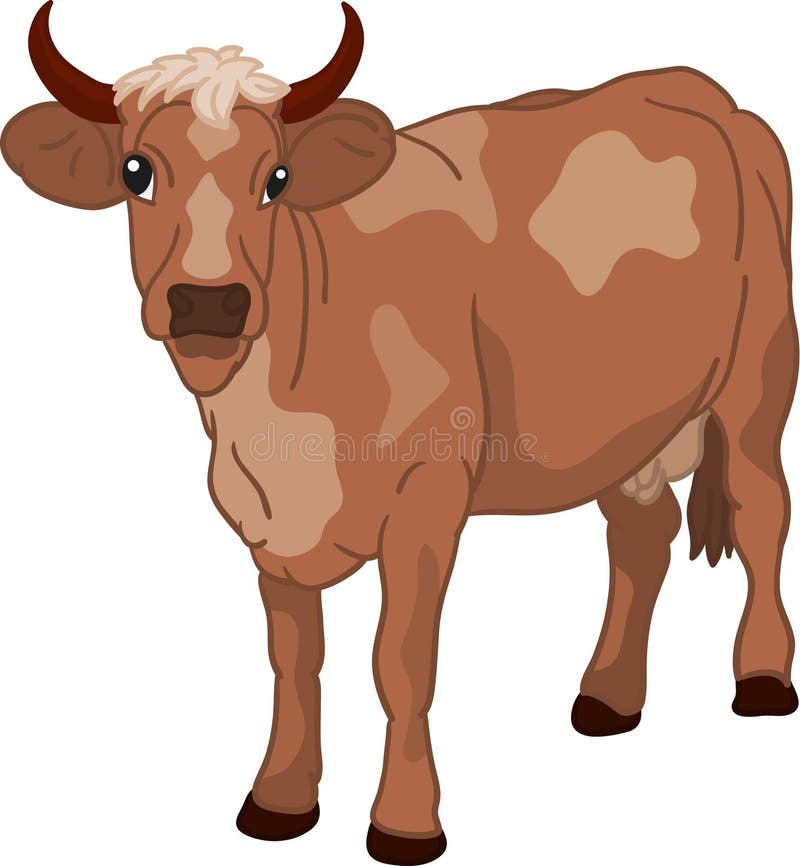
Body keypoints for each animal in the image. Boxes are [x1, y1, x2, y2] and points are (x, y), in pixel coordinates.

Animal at [2, 2, 797, 863]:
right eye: (136, 172)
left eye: (276, 180)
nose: (208, 302)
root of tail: (707, 95)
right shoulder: (265, 522)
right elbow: (296, 661)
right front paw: (280, 799)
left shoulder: (429, 498)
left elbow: (402, 663)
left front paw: (406, 822)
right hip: (624, 422)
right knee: (642, 533)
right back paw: (610, 696)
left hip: (758, 382)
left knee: (761, 507)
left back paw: (762, 679)